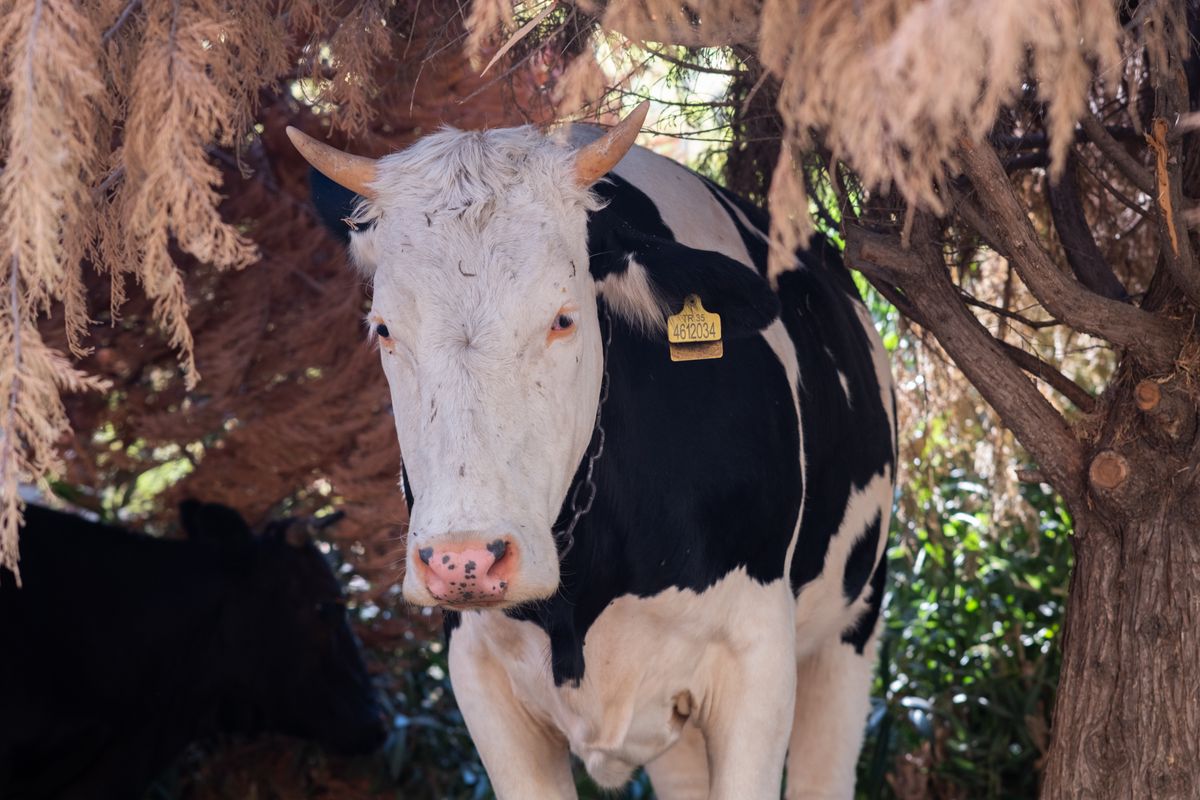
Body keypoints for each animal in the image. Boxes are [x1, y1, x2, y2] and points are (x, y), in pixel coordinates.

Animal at [288, 101, 896, 799]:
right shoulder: (478, 676)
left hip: (853, 625)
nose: (464, 560)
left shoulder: (759, 664)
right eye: (385, 329)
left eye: (563, 318)